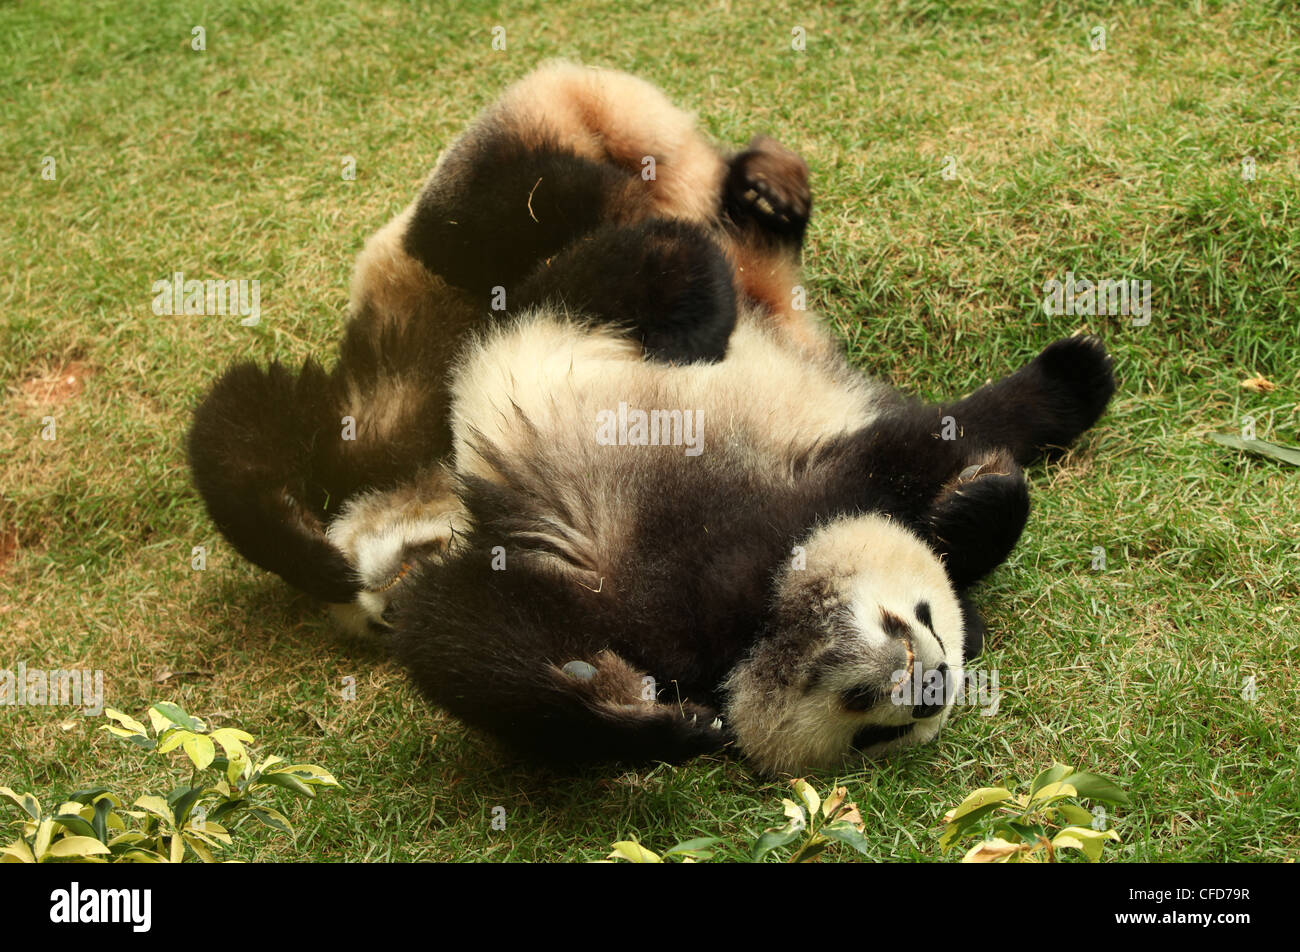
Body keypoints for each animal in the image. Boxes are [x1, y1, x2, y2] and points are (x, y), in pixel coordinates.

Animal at [188, 62, 1116, 776]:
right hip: (512, 211)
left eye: (880, 730)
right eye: (906, 624)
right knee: (532, 221)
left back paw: (762, 199)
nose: (926, 685)